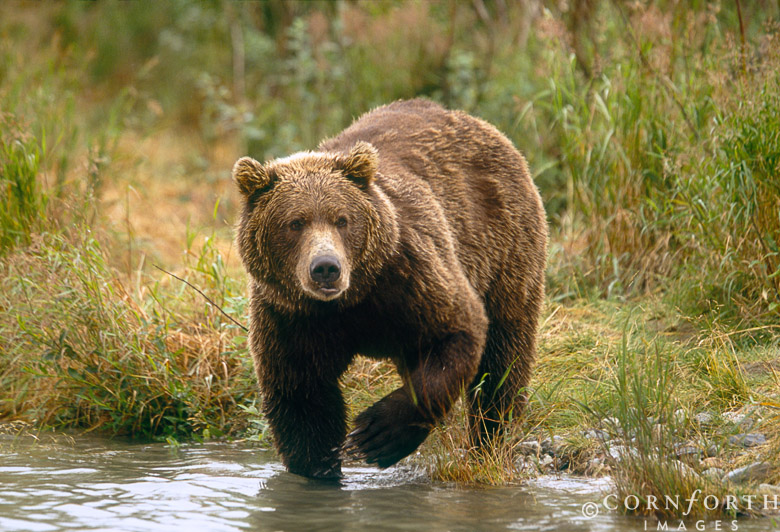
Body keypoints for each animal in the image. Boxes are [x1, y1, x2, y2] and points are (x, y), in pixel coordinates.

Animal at [233, 98, 547, 480]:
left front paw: (377, 433)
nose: (326, 268)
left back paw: (490, 438)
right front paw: (320, 468)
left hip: (504, 246)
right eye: (294, 223)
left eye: (342, 219)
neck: (350, 301)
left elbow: (459, 331)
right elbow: (304, 399)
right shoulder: (290, 315)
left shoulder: (408, 278)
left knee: (503, 359)